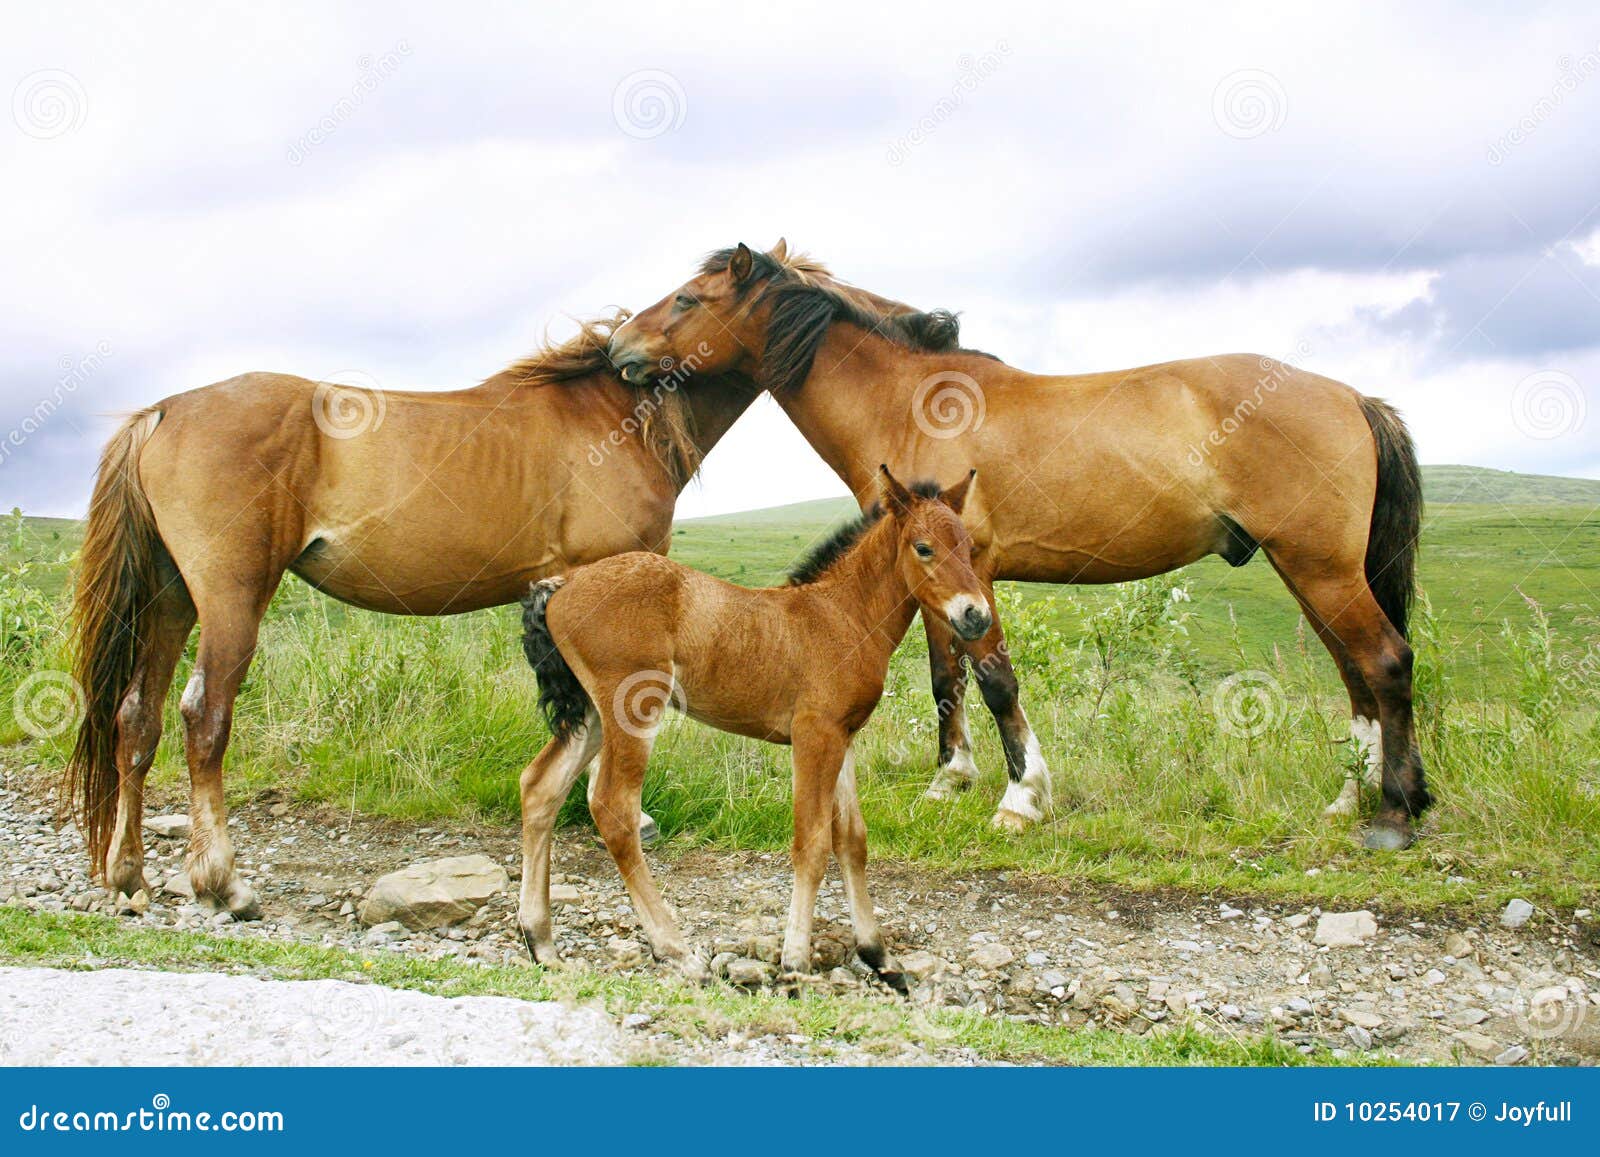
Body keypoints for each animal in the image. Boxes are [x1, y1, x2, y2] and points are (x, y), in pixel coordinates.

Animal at [65, 314, 760, 918]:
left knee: (137, 716)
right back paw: (223, 883)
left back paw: (128, 874)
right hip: (229, 596)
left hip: (170, 596)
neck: (614, 415)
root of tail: (164, 411)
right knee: (203, 716)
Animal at [516, 466, 986, 986]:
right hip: (633, 710)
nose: (976, 615)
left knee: (540, 786)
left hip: (592, 714)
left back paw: (541, 942)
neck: (841, 615)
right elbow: (812, 842)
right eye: (923, 547)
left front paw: (880, 956)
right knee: (613, 808)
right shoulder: (814, 735)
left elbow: (852, 841)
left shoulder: (843, 738)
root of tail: (560, 584)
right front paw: (795, 962)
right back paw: (676, 951)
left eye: (969, 546)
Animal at [605, 242, 1430, 851]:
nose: (617, 345)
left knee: (1386, 661)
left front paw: (1021, 798)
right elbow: (946, 679)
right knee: (1356, 675)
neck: (914, 402)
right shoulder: (933, 579)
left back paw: (1394, 814)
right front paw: (950, 780)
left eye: (687, 299)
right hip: (1311, 572)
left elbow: (995, 678)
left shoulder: (978, 572)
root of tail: (1353, 398)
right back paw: (1348, 800)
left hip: (1321, 569)